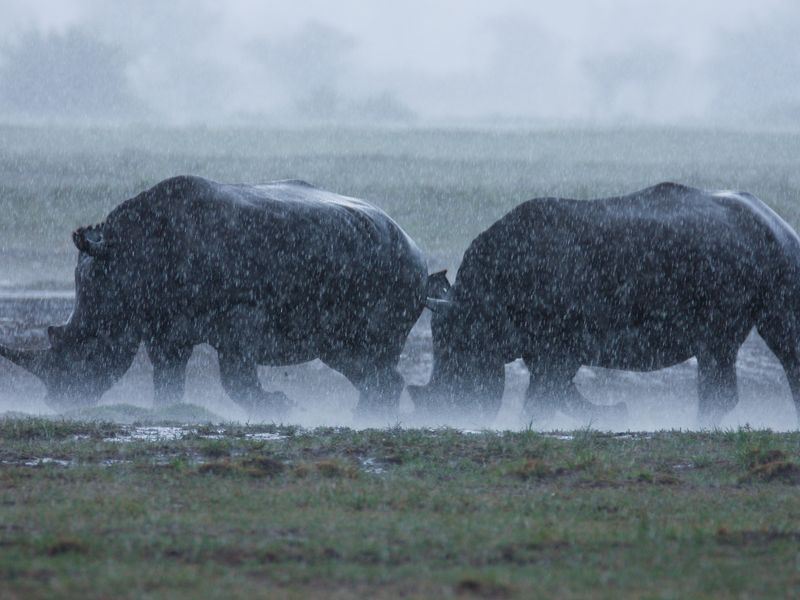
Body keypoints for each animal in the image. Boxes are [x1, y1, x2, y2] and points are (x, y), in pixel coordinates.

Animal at [0, 176, 429, 419]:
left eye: (88, 349)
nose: (56, 403)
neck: (127, 258)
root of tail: (415, 245)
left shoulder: (241, 310)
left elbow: (235, 375)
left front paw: (283, 408)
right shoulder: (162, 322)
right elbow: (167, 373)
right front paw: (166, 413)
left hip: (397, 271)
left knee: (365, 352)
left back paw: (365, 421)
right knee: (351, 356)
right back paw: (365, 417)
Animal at [409, 183, 800, 427]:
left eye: (458, 382)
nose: (444, 421)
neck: (478, 304)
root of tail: (777, 219)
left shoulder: (556, 343)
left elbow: (545, 394)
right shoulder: (544, 345)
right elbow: (560, 392)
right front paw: (614, 414)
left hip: (775, 255)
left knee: (764, 341)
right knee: (724, 351)